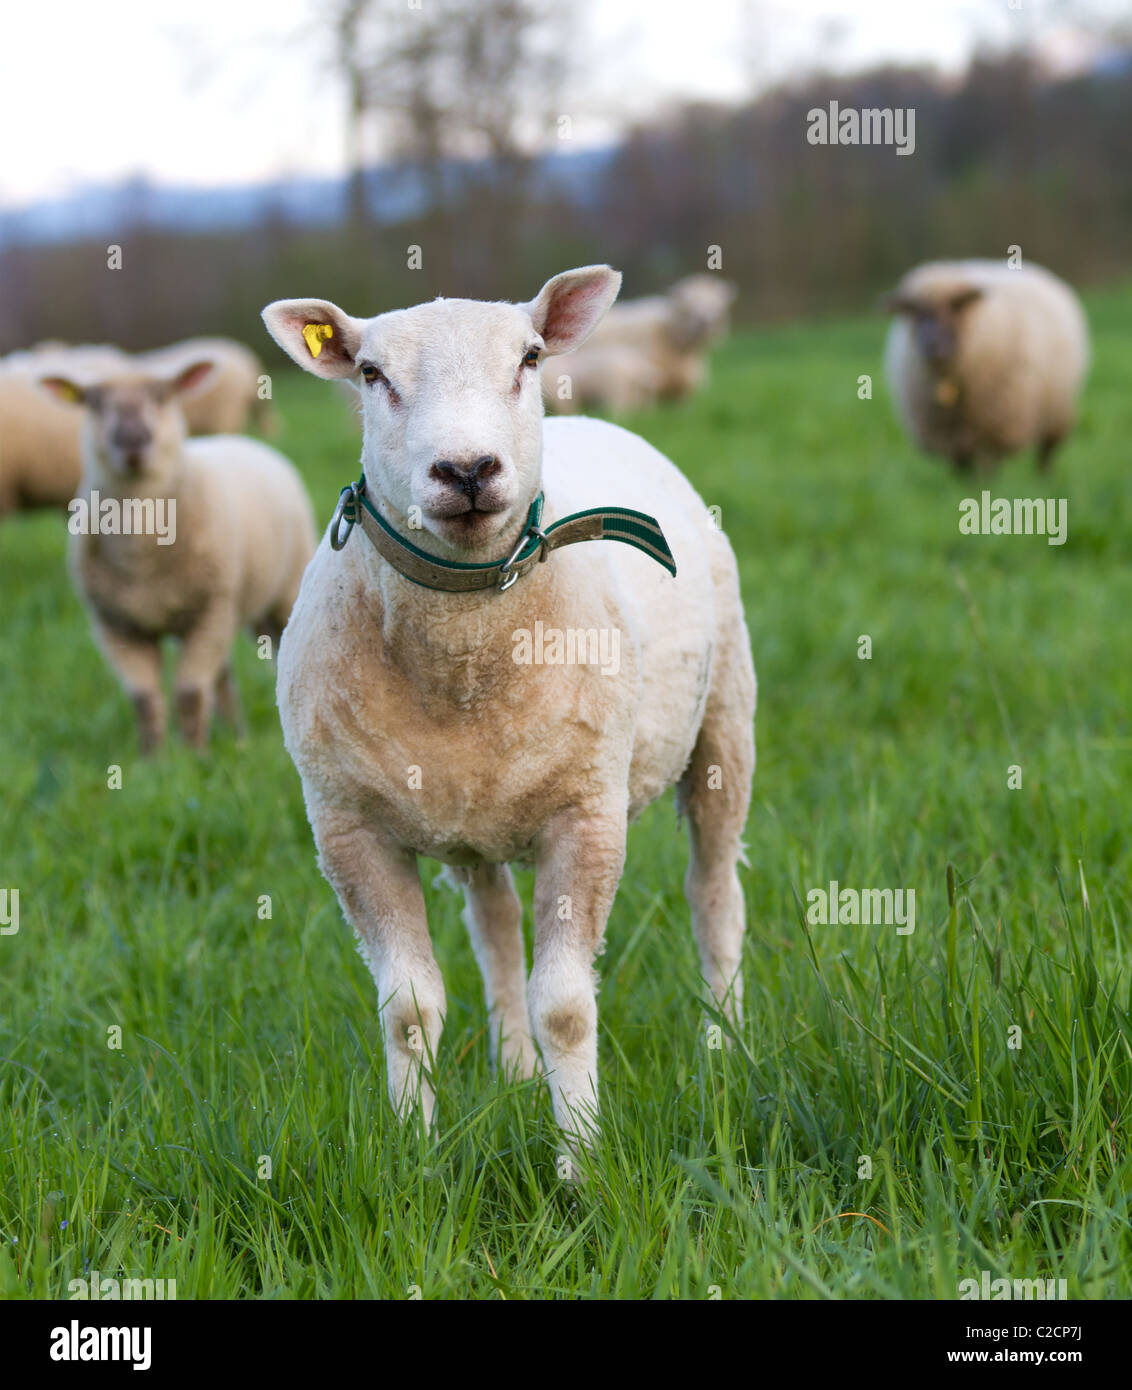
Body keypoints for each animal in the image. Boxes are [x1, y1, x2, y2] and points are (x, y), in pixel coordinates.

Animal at [39, 362, 317, 753]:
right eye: (94, 403)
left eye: (162, 396)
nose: (133, 441)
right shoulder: (116, 624)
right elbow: (144, 700)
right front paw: (154, 758)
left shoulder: (209, 609)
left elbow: (188, 694)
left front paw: (194, 755)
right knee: (222, 676)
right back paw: (236, 737)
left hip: (276, 596)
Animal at [261, 266, 757, 1153]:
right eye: (371, 374)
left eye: (528, 357)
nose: (465, 469)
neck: (461, 656)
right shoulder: (349, 828)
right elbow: (409, 1010)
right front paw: (414, 1158)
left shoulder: (585, 817)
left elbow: (564, 1006)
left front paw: (583, 1159)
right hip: (471, 815)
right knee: (493, 926)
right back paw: (516, 1071)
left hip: (725, 719)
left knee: (713, 895)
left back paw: (724, 1046)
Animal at [882, 259, 1090, 474]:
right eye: (914, 311)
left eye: (956, 306)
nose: (933, 345)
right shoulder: (950, 438)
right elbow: (962, 470)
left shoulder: (994, 425)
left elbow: (988, 468)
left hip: (1055, 409)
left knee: (1047, 450)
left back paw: (1042, 477)